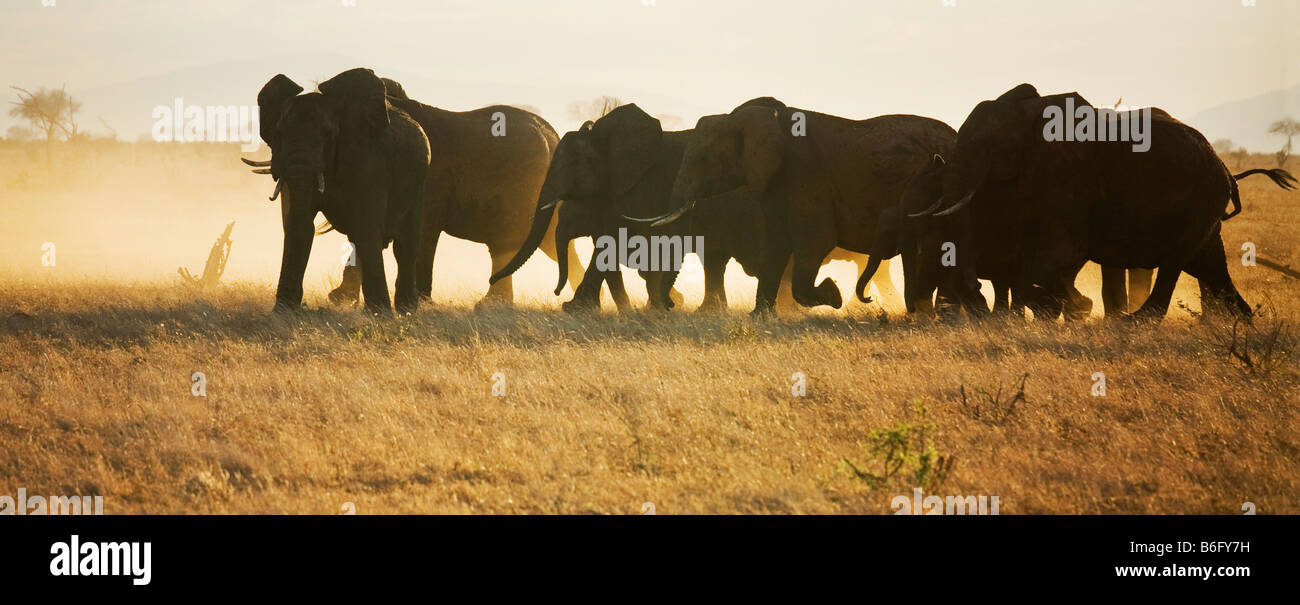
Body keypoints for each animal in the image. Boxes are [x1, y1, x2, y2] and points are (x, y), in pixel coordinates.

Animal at [245, 68, 430, 315]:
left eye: (328, 134)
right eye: (279, 133)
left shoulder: (370, 162)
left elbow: (367, 227)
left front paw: (381, 315)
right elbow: (298, 224)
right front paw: (283, 311)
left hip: (419, 184)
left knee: (404, 244)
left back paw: (406, 310)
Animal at [317, 77, 585, 308]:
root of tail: (552, 134)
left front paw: (422, 303)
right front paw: (339, 299)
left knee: (509, 240)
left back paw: (489, 305)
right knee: (550, 242)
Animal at [636, 98, 951, 315]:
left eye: (703, 159)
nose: (672, 305)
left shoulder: (806, 177)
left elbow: (815, 242)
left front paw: (832, 293)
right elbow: (776, 245)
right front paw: (759, 317)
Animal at [908, 84, 1296, 321]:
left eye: (985, 148)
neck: (1027, 112)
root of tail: (1227, 171)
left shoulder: (1067, 177)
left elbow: (1059, 251)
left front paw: (1074, 307)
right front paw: (1067, 308)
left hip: (1199, 202)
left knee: (1177, 262)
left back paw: (1135, 322)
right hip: (1205, 211)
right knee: (1210, 265)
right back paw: (1239, 324)